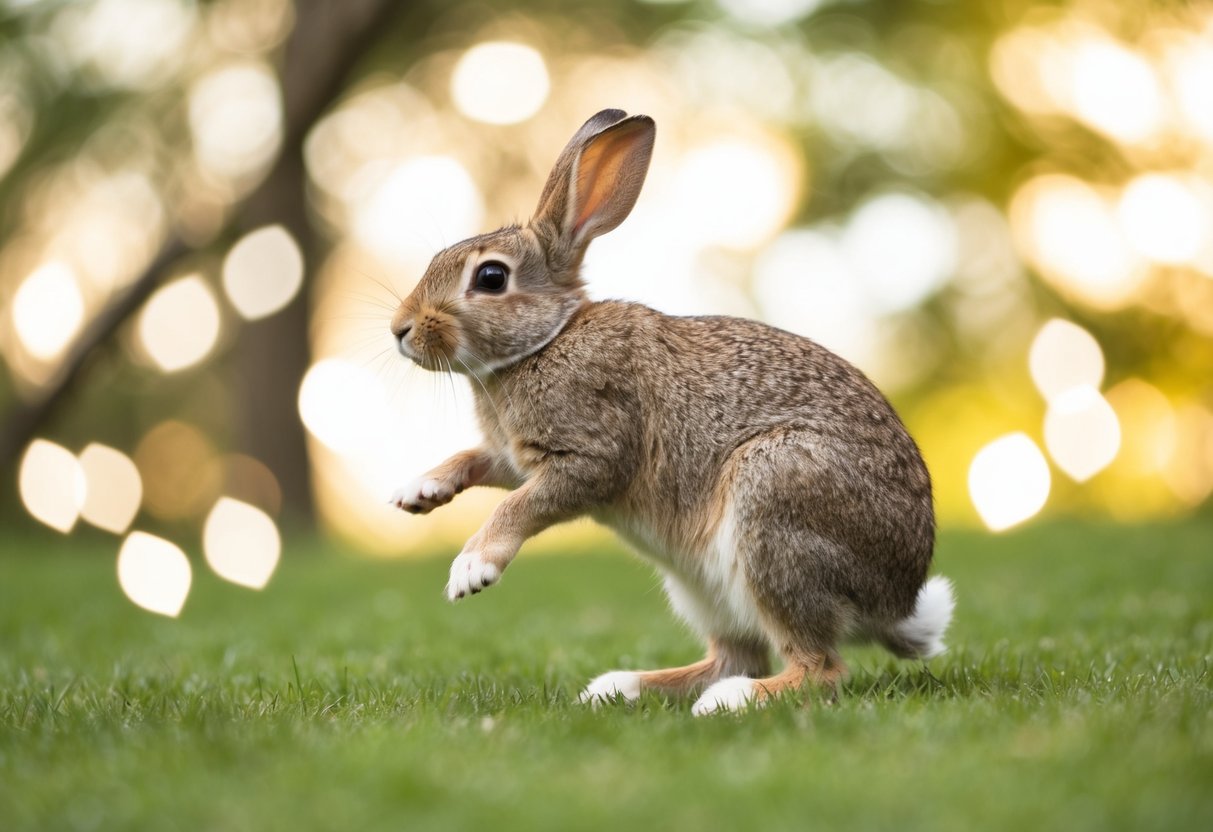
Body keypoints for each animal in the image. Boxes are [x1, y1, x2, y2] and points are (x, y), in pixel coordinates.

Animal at [388, 108, 955, 715]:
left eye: (491, 278)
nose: (400, 329)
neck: (546, 341)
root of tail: (896, 604)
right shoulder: (515, 457)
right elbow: (475, 461)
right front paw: (418, 492)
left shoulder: (588, 453)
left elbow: (519, 505)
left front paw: (472, 570)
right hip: (703, 586)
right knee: (736, 655)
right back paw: (621, 686)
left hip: (775, 508)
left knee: (817, 667)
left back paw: (729, 701)